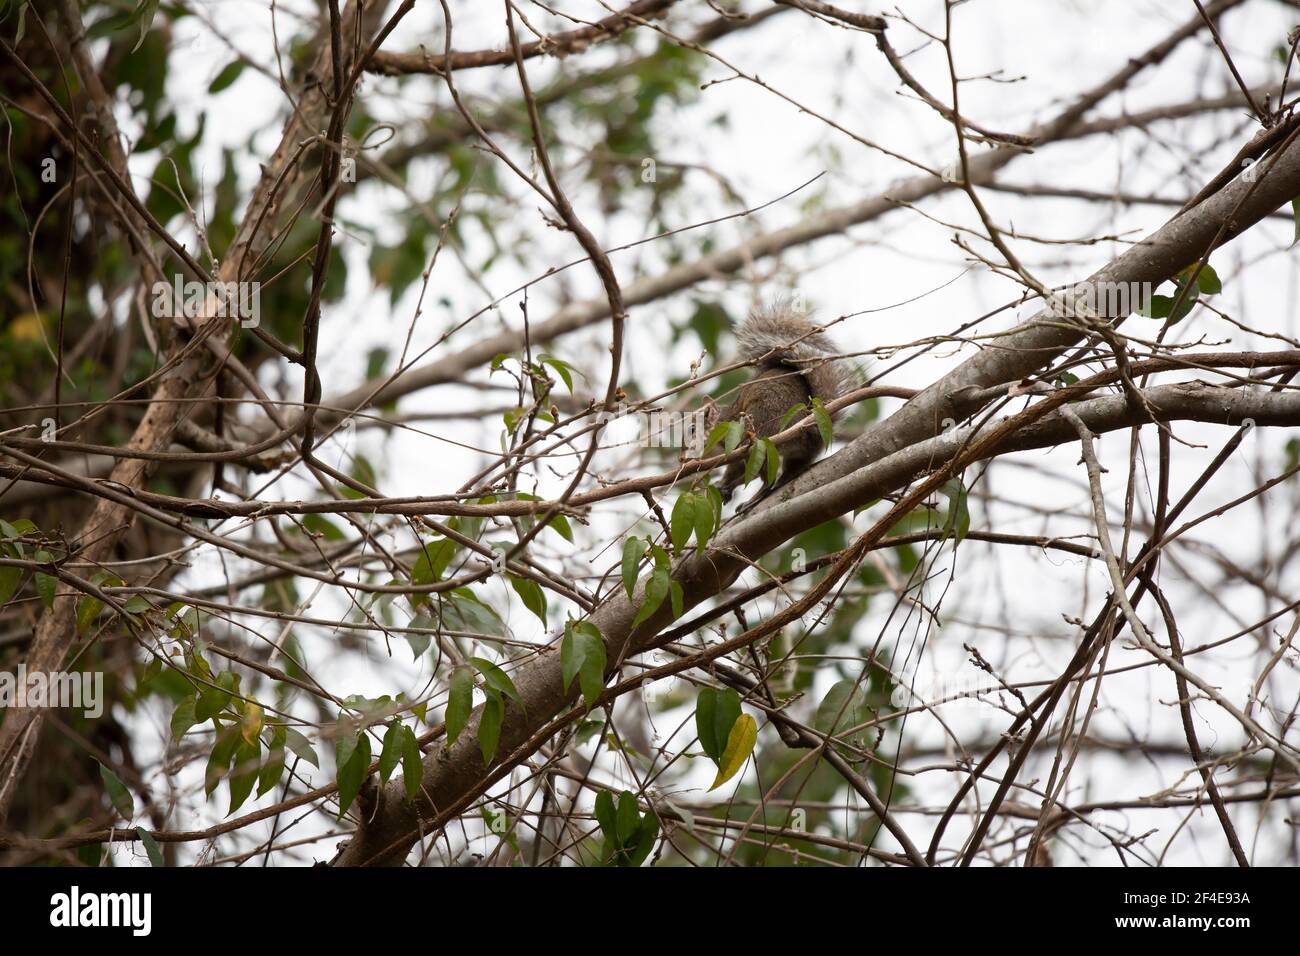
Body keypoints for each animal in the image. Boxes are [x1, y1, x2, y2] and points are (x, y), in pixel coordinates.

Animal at [709, 304, 853, 505]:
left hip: (760, 436)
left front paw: (725, 486)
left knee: (766, 478)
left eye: (693, 427)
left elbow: (740, 469)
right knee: (791, 468)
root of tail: (810, 427)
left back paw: (753, 499)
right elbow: (735, 469)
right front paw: (723, 486)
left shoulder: (735, 439)